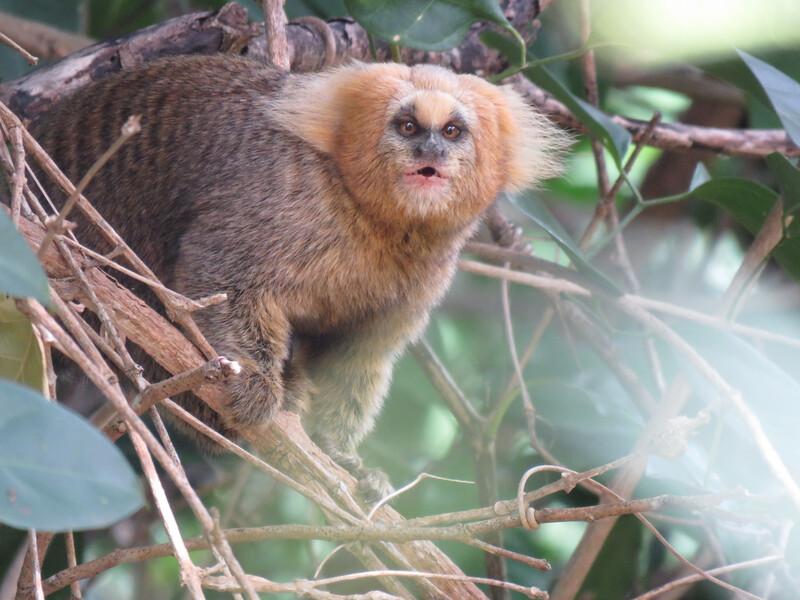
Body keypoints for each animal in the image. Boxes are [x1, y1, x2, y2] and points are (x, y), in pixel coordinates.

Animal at [28, 54, 567, 499]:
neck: (374, 220)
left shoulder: (425, 276)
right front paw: (254, 381)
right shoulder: (282, 198)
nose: (430, 150)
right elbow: (221, 276)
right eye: (409, 126)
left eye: (453, 131)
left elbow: (359, 350)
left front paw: (340, 455)